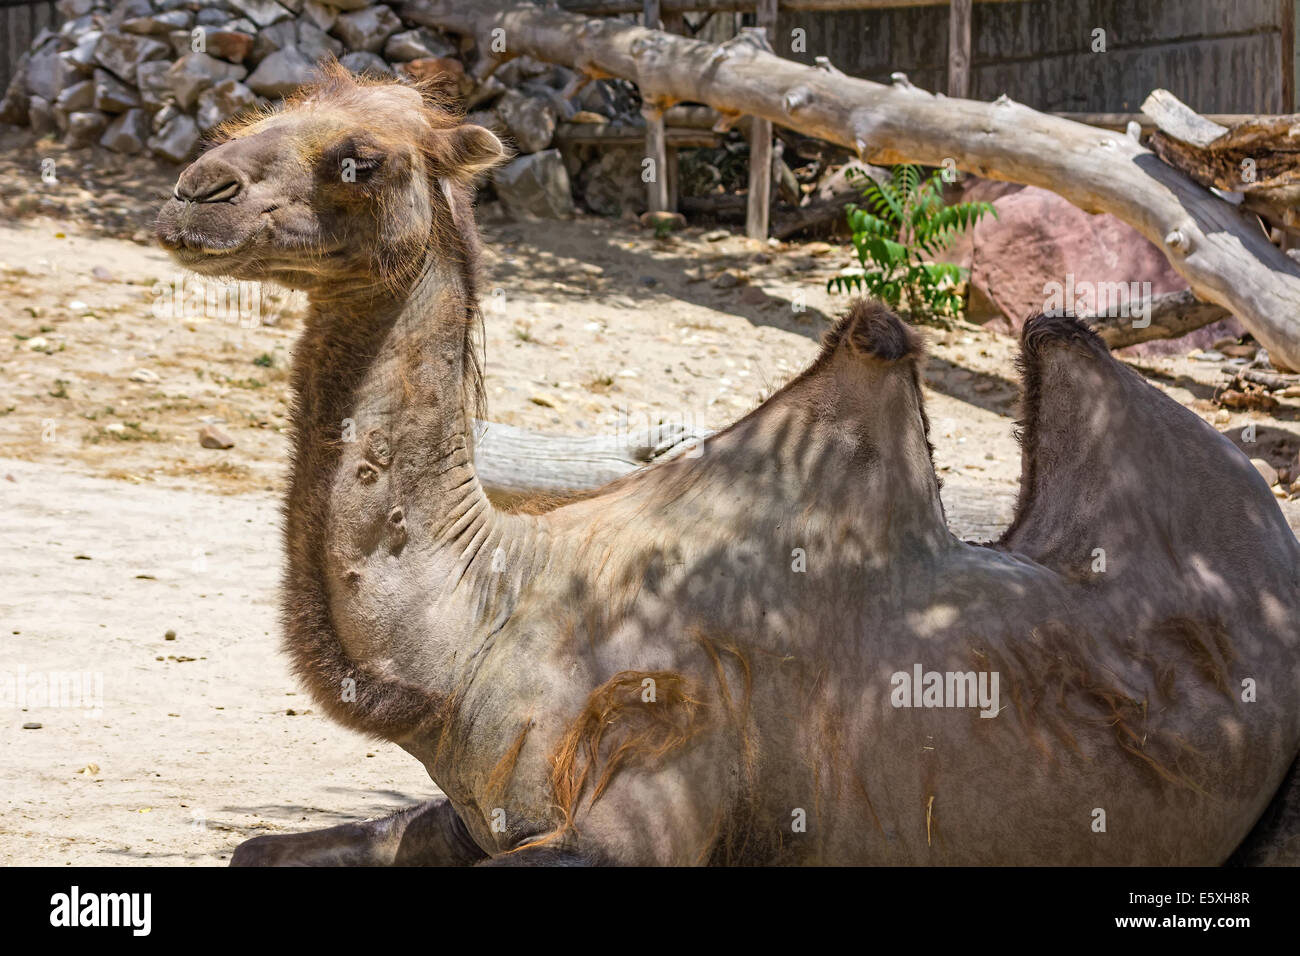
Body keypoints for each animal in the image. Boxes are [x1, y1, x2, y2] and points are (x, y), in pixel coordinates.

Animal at [156, 65, 1300, 866]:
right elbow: (254, 845)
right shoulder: (474, 805)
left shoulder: (661, 753)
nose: (193, 192)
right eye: (270, 105)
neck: (490, 616)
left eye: (361, 159)